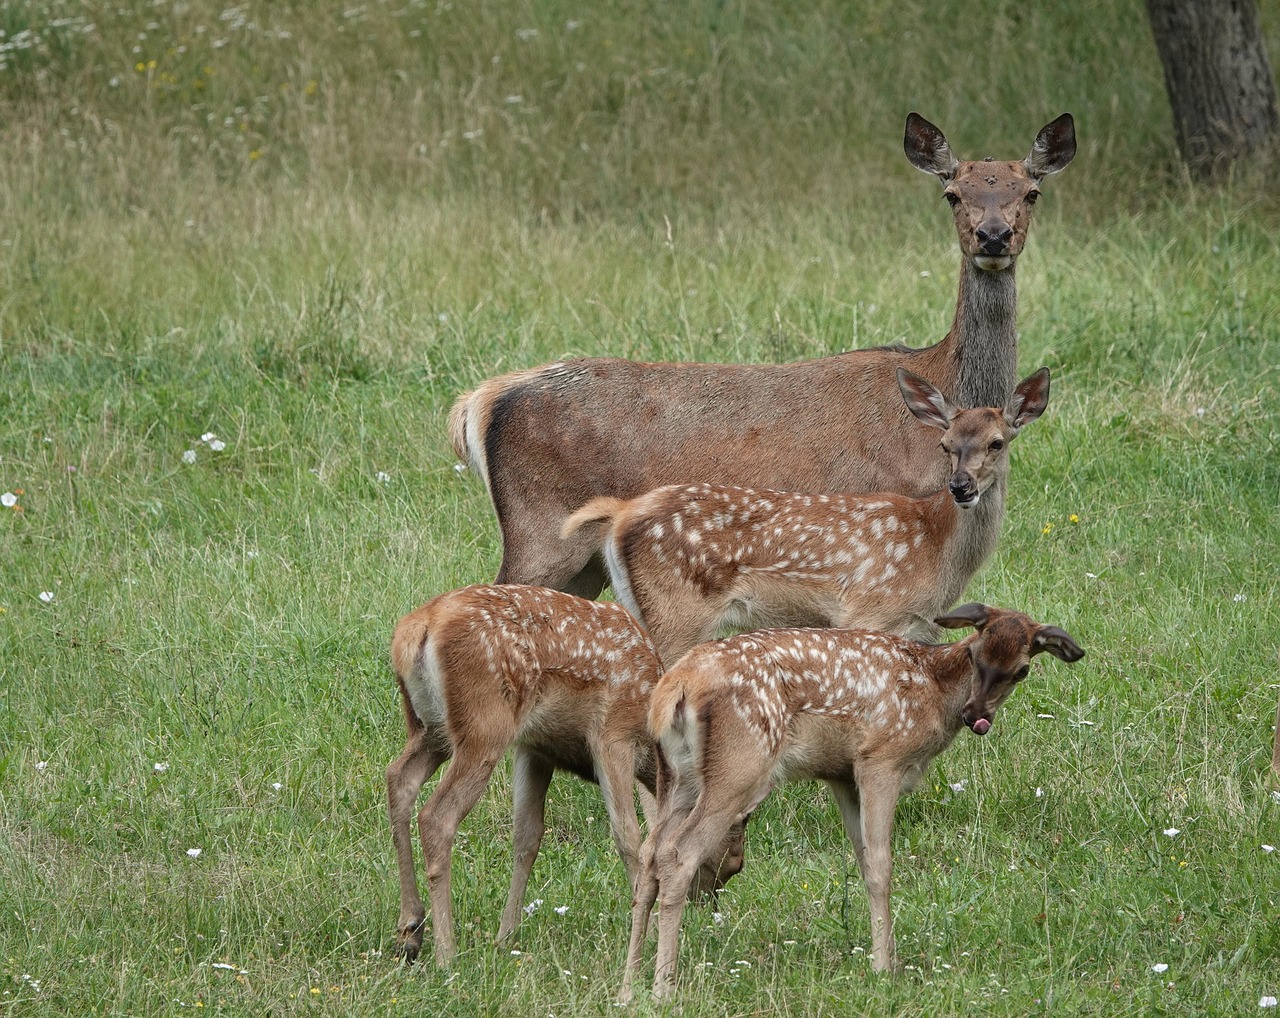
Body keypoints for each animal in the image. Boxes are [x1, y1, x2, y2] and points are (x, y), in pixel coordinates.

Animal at [385, 583, 744, 966]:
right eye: (733, 862)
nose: (706, 905)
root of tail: (417, 628)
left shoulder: (535, 747)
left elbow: (527, 837)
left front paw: (506, 936)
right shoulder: (613, 735)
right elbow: (629, 835)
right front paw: (646, 937)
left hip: (430, 728)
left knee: (399, 779)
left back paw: (410, 931)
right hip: (484, 725)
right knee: (437, 815)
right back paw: (446, 953)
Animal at [448, 113, 1075, 598]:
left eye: (1031, 191)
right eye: (952, 193)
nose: (992, 236)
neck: (940, 381)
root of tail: (482, 401)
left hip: (581, 562)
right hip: (540, 534)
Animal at [560, 366, 1050, 666]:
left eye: (996, 442)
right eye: (944, 444)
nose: (961, 487)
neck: (935, 546)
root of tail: (622, 512)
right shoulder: (868, 611)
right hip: (677, 612)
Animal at [617, 603, 1085, 1002]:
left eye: (1021, 670)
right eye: (975, 653)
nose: (976, 716)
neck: (934, 690)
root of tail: (676, 686)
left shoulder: (841, 775)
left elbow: (861, 859)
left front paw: (886, 957)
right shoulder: (881, 757)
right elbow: (880, 864)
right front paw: (884, 969)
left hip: (677, 775)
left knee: (651, 851)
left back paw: (628, 986)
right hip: (740, 765)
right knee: (681, 852)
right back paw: (663, 988)